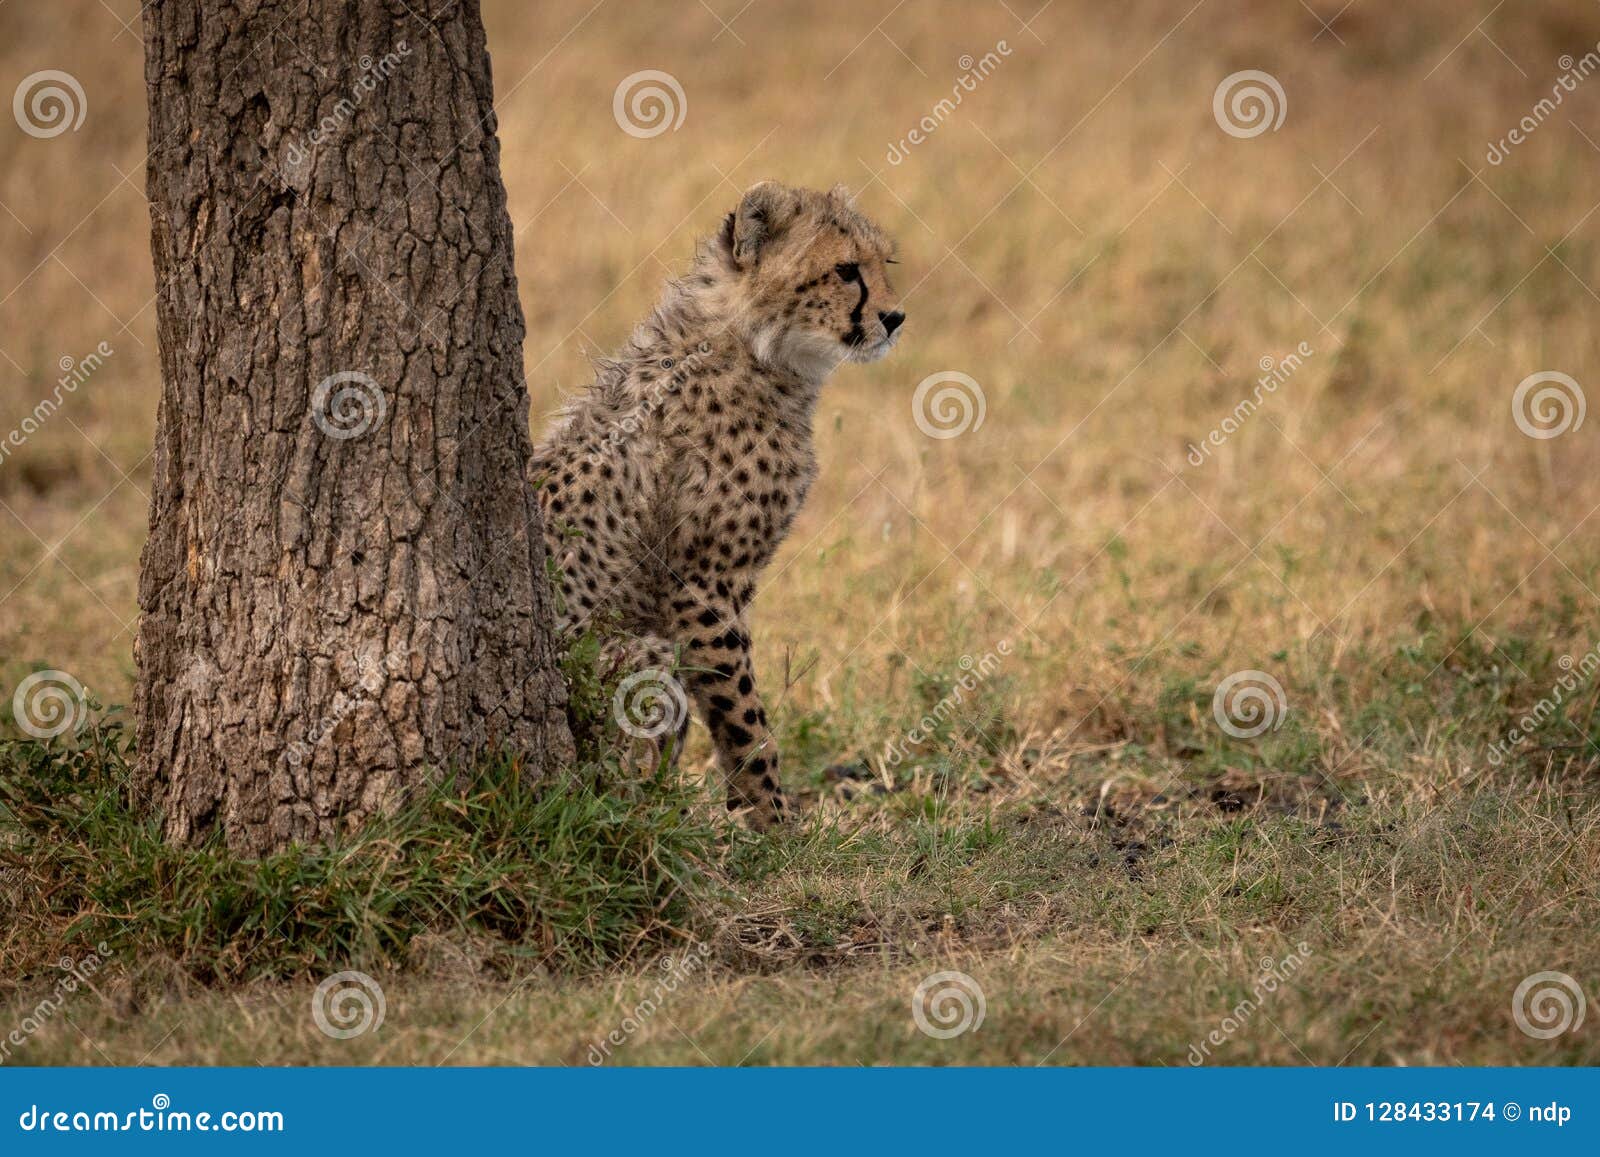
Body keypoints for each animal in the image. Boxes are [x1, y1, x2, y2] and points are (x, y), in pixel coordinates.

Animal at [530, 181, 905, 829]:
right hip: (640, 649)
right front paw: (775, 820)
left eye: (885, 264)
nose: (895, 317)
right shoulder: (704, 587)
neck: (756, 344)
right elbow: (743, 716)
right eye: (845, 270)